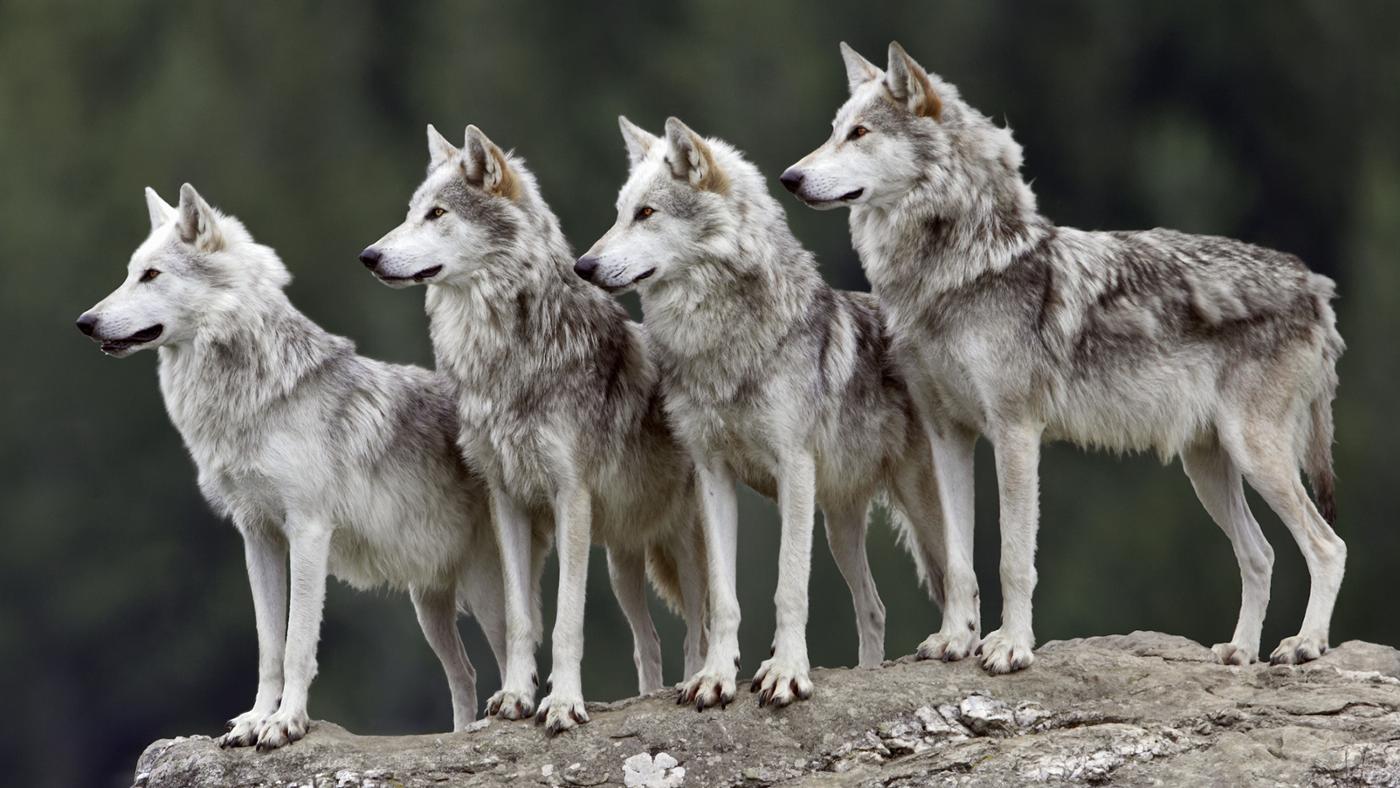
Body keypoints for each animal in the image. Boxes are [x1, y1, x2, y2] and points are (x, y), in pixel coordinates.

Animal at [74, 185, 505, 749]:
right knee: (466, 675)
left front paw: (286, 723)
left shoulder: (308, 532)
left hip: (485, 592)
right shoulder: (257, 536)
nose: (85, 322)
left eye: (151, 275)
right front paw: (255, 719)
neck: (252, 398)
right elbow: (268, 647)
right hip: (428, 605)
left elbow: (298, 641)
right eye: (129, 273)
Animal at [359, 125, 709, 734]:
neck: (507, 359)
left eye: (437, 213)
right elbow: (522, 619)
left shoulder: (571, 499)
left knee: (699, 627)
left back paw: (696, 686)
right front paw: (516, 698)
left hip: (679, 542)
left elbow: (567, 620)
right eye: (410, 213)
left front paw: (564, 704)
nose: (369, 256)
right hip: (622, 562)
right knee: (649, 641)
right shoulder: (508, 499)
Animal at [575, 116, 958, 709]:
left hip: (916, 505)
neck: (721, 345)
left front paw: (786, 673)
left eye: (647, 213)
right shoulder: (712, 476)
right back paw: (870, 669)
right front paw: (714, 678)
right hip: (839, 525)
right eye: (620, 213)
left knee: (961, 578)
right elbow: (724, 598)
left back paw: (958, 643)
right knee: (873, 606)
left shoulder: (793, 470)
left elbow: (789, 587)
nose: (583, 265)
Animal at [782, 42, 1346, 673]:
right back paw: (1240, 652)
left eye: (860, 133)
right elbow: (958, 561)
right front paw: (955, 641)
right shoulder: (948, 434)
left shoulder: (1015, 431)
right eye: (833, 131)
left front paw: (1010, 648)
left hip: (1255, 455)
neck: (956, 272)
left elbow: (1012, 559)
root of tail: (1314, 285)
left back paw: (1304, 645)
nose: (789, 178)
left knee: (1328, 545)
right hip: (1208, 466)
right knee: (1261, 553)